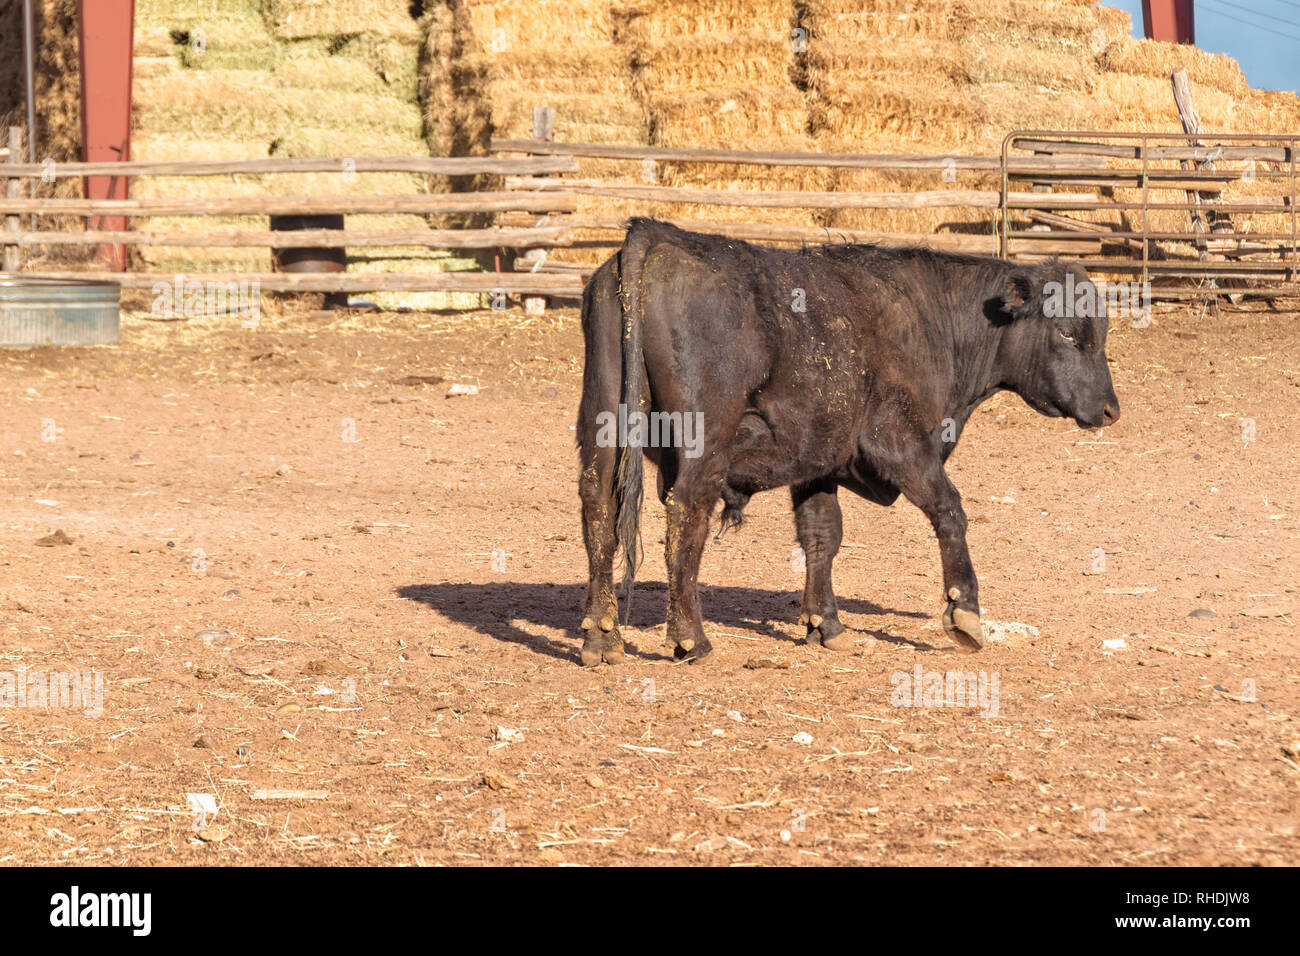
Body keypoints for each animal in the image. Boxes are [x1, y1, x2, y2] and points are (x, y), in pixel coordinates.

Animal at [576, 218, 1119, 667]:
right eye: (1067, 333)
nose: (1110, 410)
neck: (932, 319)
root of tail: (658, 235)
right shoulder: (898, 442)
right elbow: (949, 508)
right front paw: (964, 612)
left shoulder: (816, 464)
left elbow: (822, 536)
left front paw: (826, 624)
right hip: (702, 444)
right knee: (686, 516)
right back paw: (691, 637)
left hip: (603, 431)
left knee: (599, 511)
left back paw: (602, 637)